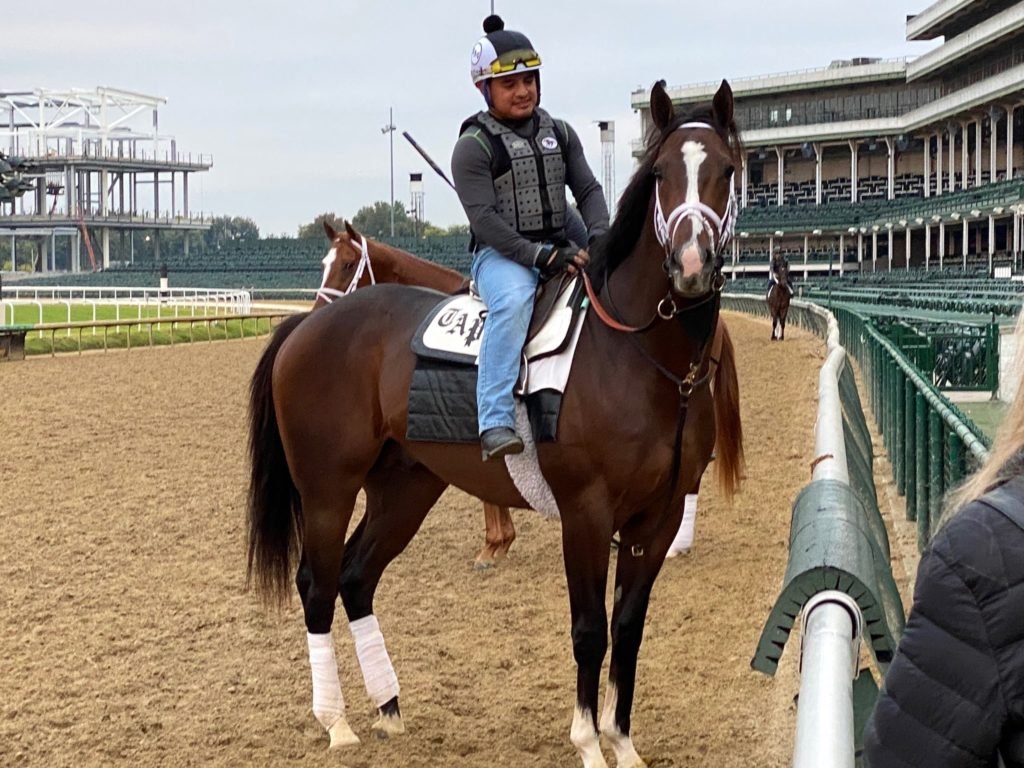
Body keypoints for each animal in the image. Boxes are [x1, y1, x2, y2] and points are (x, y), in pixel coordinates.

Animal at [247, 81, 745, 765]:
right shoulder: (587, 514)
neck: (636, 354)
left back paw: (389, 707)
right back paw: (337, 721)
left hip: (405, 487)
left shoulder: (658, 515)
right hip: (327, 490)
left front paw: (623, 742)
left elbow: (628, 628)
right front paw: (589, 742)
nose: (691, 264)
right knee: (316, 584)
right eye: (660, 174)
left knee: (356, 576)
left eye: (726, 170)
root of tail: (309, 325)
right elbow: (589, 630)